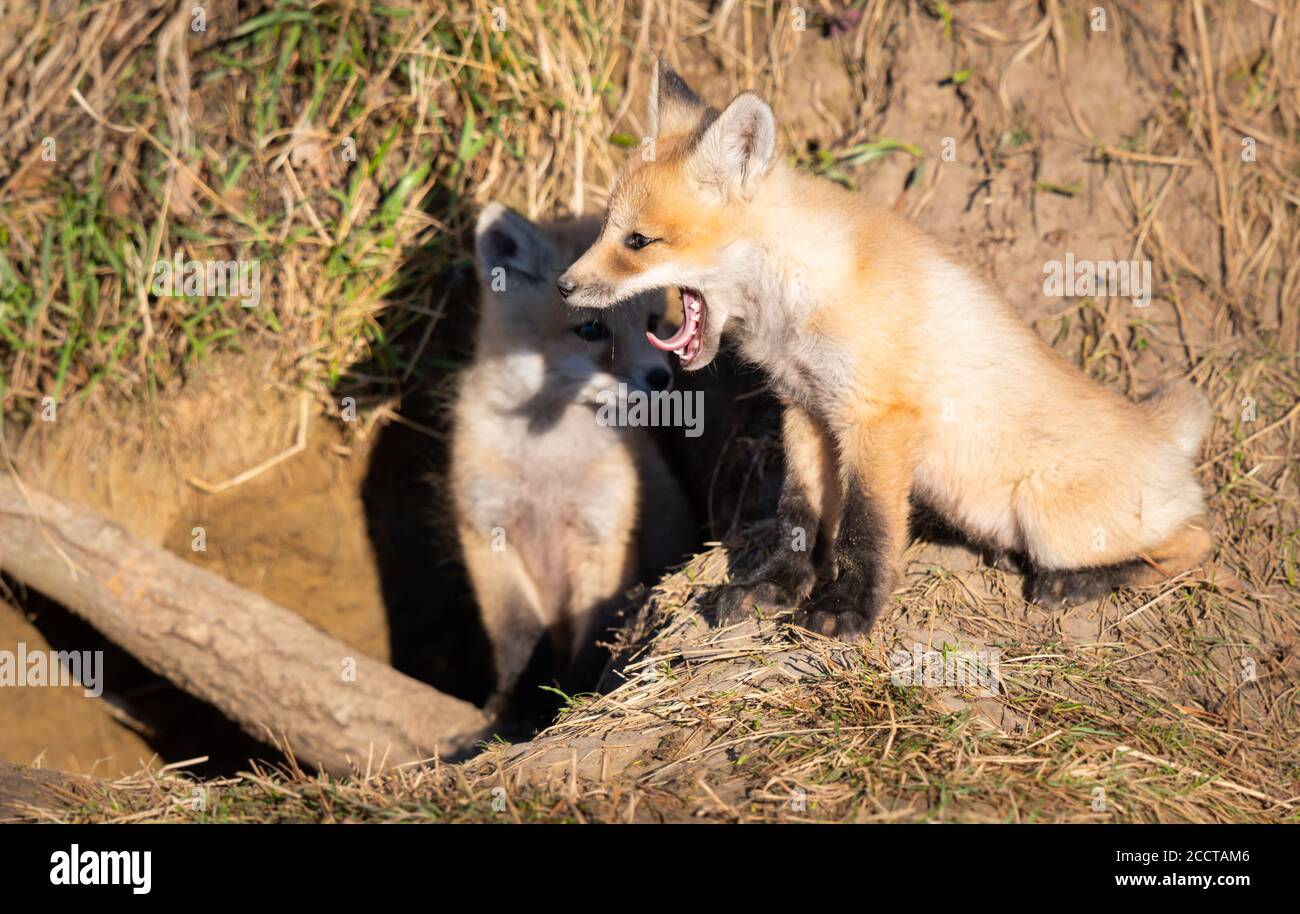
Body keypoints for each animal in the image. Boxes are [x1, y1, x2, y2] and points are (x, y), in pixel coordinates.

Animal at [451, 202, 695, 715]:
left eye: (652, 324)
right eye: (591, 329)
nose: (661, 378)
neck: (547, 467)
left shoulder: (603, 535)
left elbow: (596, 635)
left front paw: (572, 698)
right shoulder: (486, 531)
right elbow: (519, 636)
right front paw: (514, 706)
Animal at [555, 62, 1213, 640]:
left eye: (638, 241)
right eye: (606, 229)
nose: (564, 288)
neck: (795, 303)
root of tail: (1163, 430)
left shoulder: (876, 418)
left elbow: (863, 529)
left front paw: (845, 612)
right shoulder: (806, 411)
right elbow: (799, 516)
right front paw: (774, 589)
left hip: (1053, 518)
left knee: (1197, 542)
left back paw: (1076, 583)